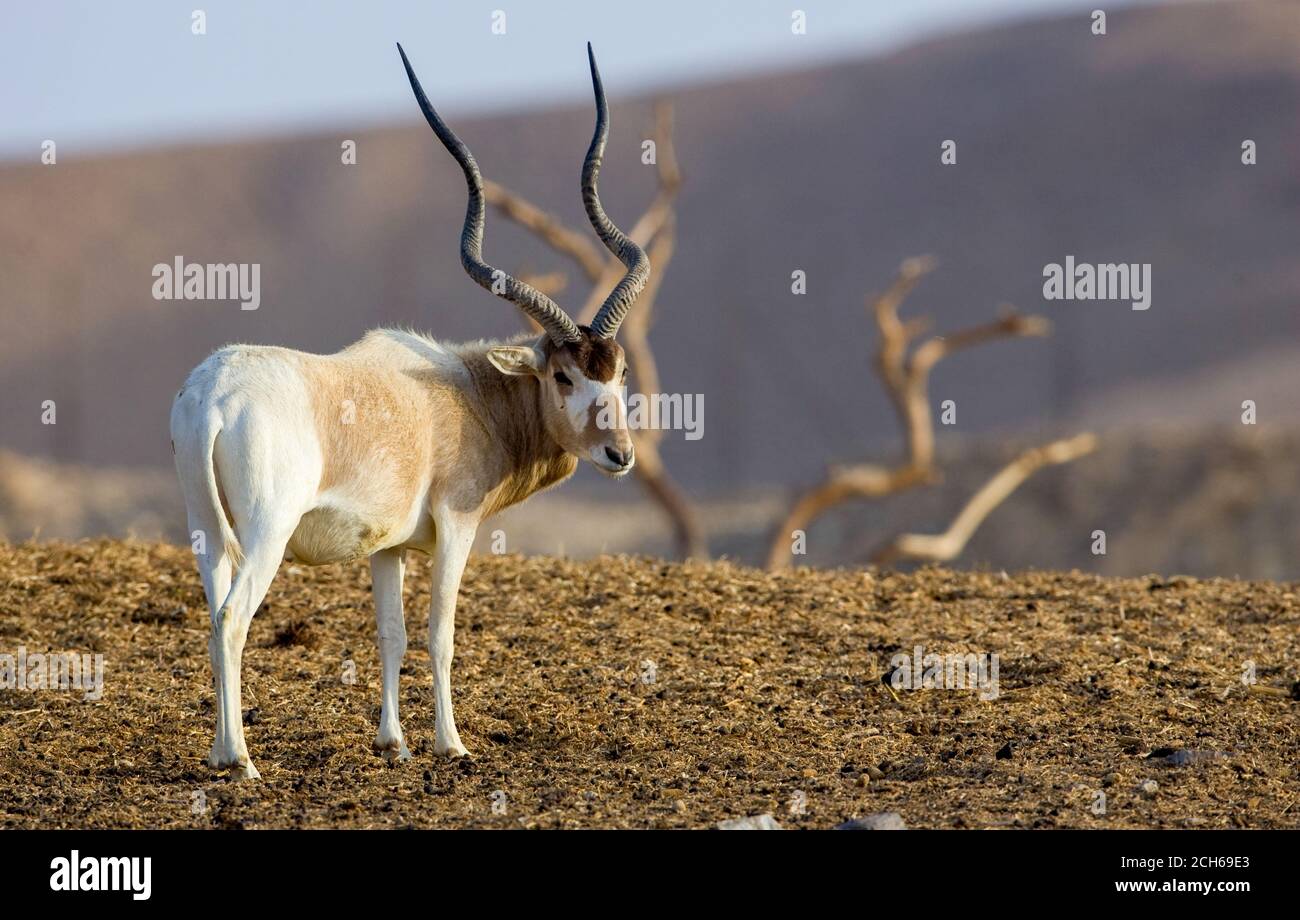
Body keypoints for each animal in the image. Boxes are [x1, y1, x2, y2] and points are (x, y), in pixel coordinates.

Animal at [172, 43, 650, 774]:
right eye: (563, 376)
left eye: (616, 372)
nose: (619, 454)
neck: (467, 390)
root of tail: (212, 398)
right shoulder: (456, 525)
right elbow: (439, 634)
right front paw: (451, 744)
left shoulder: (387, 548)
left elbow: (391, 635)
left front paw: (392, 743)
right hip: (267, 531)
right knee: (232, 618)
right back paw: (240, 760)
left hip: (206, 529)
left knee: (211, 611)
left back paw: (220, 753)